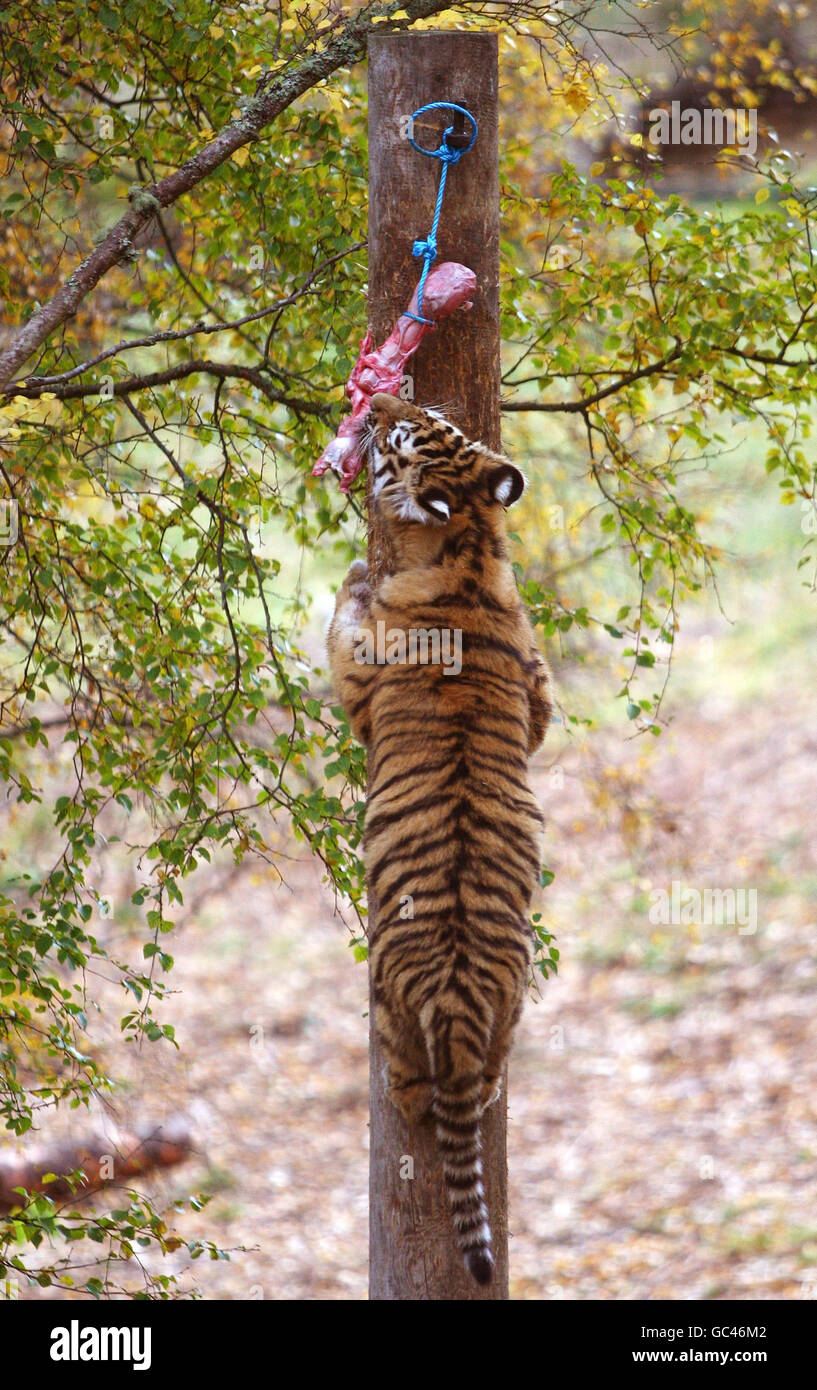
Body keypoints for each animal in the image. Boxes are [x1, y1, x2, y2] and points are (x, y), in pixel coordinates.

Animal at [327, 391, 551, 1286]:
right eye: (429, 417)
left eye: (398, 434)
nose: (377, 399)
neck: (467, 550)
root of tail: (456, 1004)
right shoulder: (536, 699)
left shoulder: (361, 681)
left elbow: (344, 625)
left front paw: (356, 576)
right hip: (511, 997)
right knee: (490, 1070)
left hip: (387, 995)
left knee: (414, 1089)